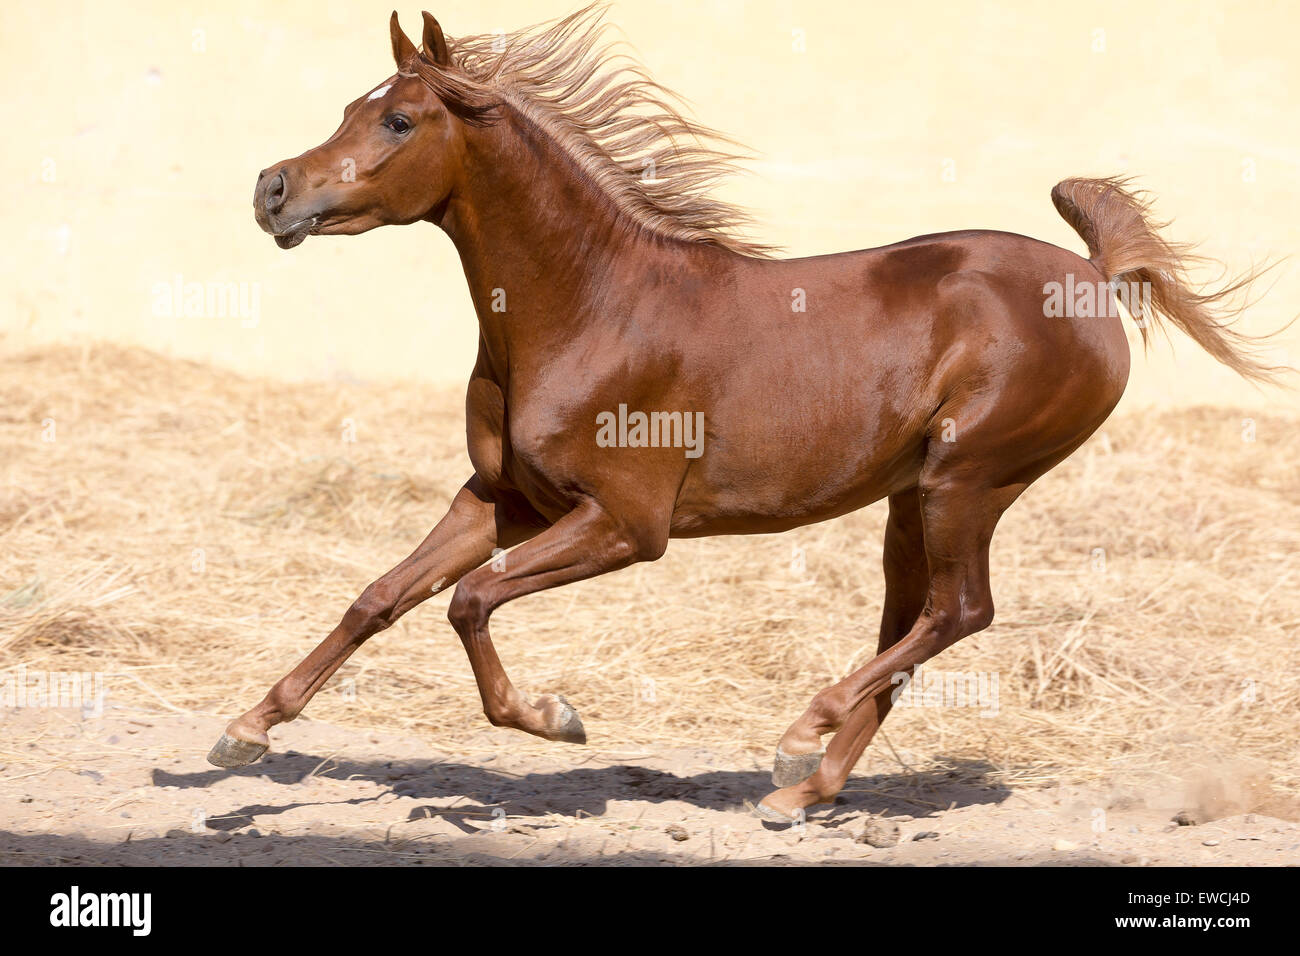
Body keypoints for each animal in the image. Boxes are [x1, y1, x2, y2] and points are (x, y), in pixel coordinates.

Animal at [210, 5, 1285, 821]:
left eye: (398, 122)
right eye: (350, 108)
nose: (272, 190)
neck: (592, 304)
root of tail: (1094, 279)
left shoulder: (626, 525)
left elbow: (469, 602)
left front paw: (558, 718)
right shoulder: (502, 500)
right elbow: (380, 596)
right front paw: (244, 731)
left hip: (967, 478)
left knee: (958, 610)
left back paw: (798, 739)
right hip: (911, 499)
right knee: (912, 621)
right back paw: (803, 791)